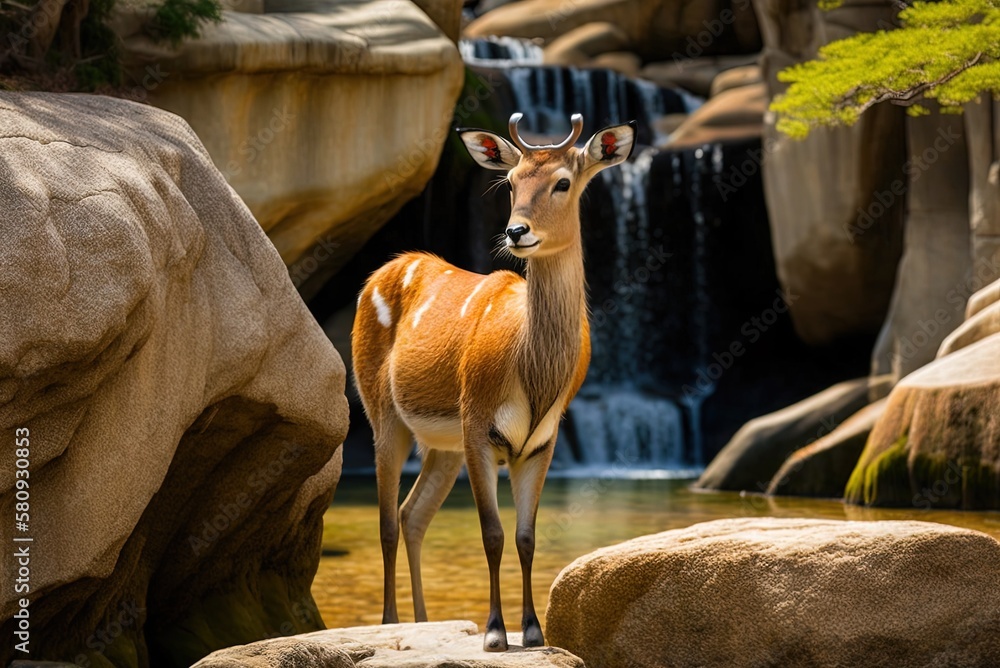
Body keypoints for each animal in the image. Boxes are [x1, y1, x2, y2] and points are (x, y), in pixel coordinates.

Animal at [351, 112, 636, 652]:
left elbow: (526, 536)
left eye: (563, 182)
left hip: (442, 445)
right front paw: (494, 634)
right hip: (381, 411)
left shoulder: (542, 440)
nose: (516, 230)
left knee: (412, 514)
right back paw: (391, 623)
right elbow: (493, 533)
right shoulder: (478, 422)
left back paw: (423, 622)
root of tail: (378, 273)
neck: (535, 377)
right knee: (385, 521)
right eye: (510, 183)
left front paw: (534, 630)